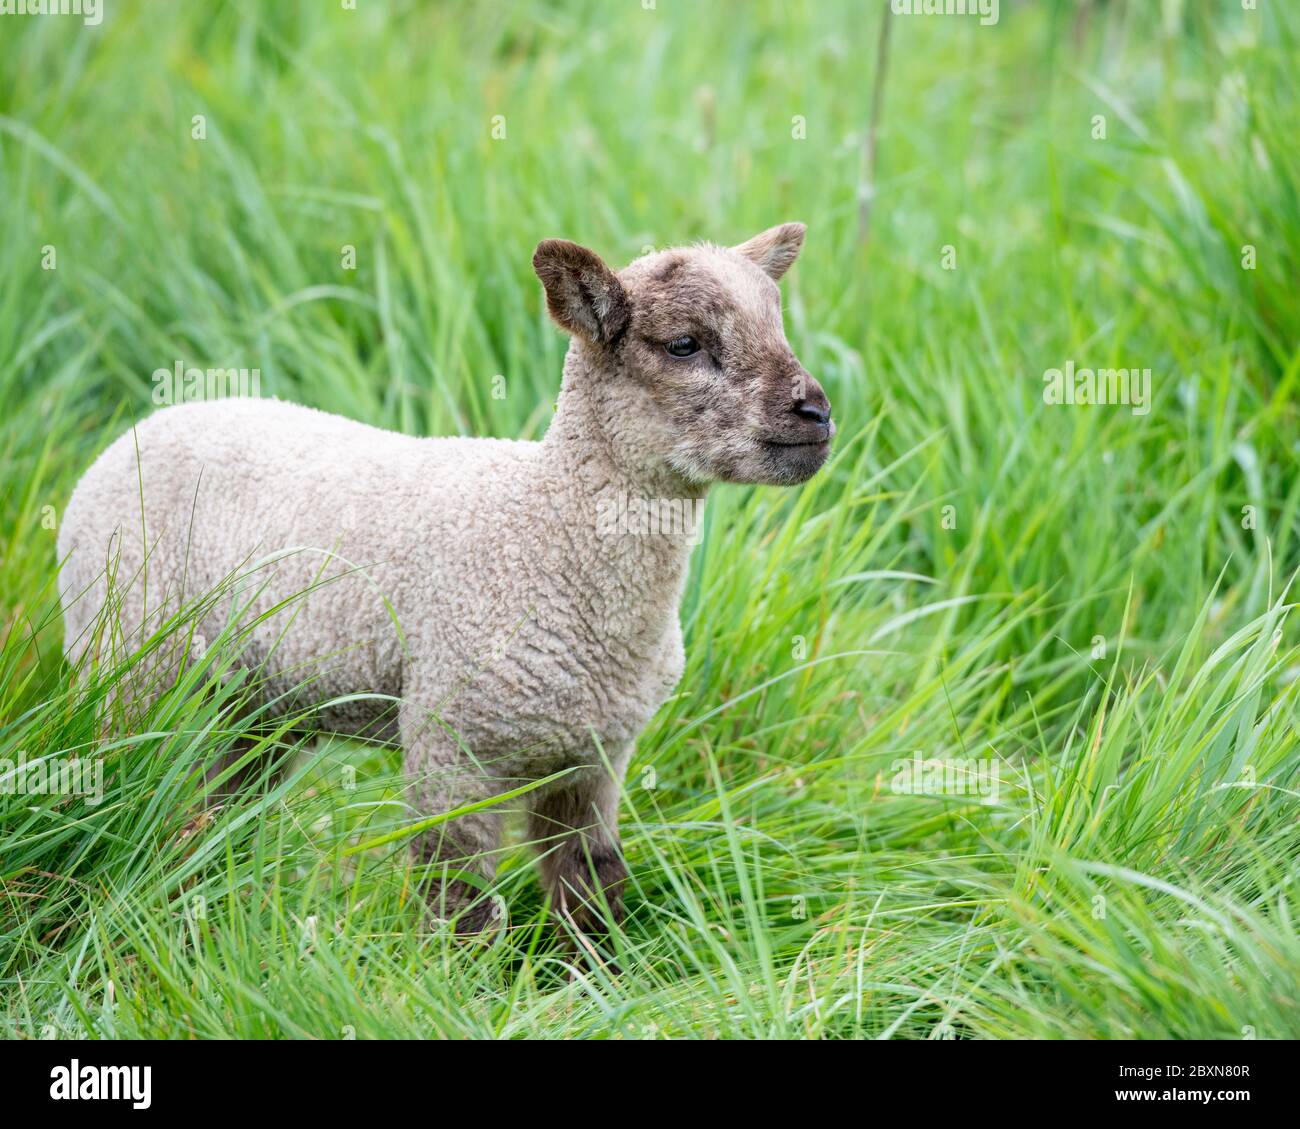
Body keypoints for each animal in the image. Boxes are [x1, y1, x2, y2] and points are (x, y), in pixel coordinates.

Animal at [57, 222, 836, 935]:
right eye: (683, 345)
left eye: (777, 325)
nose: (817, 413)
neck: (545, 531)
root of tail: (142, 427)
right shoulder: (447, 738)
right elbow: (459, 900)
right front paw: (466, 983)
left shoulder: (594, 758)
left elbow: (591, 886)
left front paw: (599, 976)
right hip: (130, 655)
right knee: (122, 774)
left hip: (257, 700)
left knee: (220, 805)